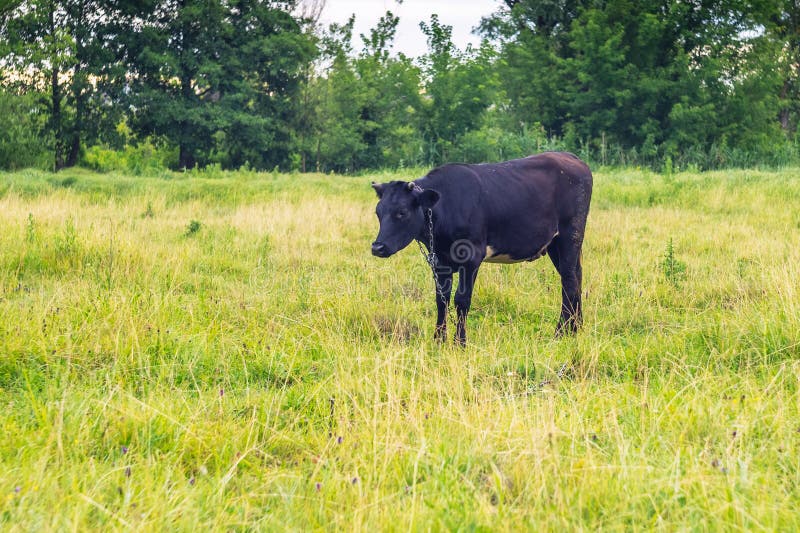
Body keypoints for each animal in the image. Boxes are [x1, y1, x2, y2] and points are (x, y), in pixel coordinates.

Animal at [371, 152, 592, 345]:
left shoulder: (471, 257)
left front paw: (460, 343)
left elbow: (461, 300)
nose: (377, 247)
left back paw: (561, 333)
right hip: (555, 245)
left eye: (402, 212)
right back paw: (576, 328)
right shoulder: (439, 261)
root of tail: (570, 157)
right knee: (576, 277)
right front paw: (439, 341)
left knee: (569, 282)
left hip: (570, 235)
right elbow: (441, 300)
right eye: (378, 212)